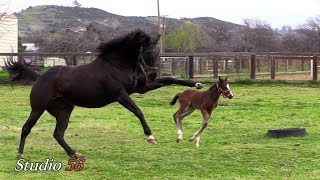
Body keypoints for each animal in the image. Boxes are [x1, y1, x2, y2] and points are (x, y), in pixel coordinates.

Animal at [6, 30, 202, 160]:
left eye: (158, 52)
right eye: (145, 51)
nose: (152, 74)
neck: (118, 65)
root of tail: (40, 77)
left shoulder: (142, 87)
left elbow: (170, 79)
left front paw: (196, 84)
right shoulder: (120, 95)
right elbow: (138, 111)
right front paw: (150, 137)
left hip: (64, 110)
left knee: (58, 134)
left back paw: (75, 154)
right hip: (38, 108)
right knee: (26, 128)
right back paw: (20, 154)